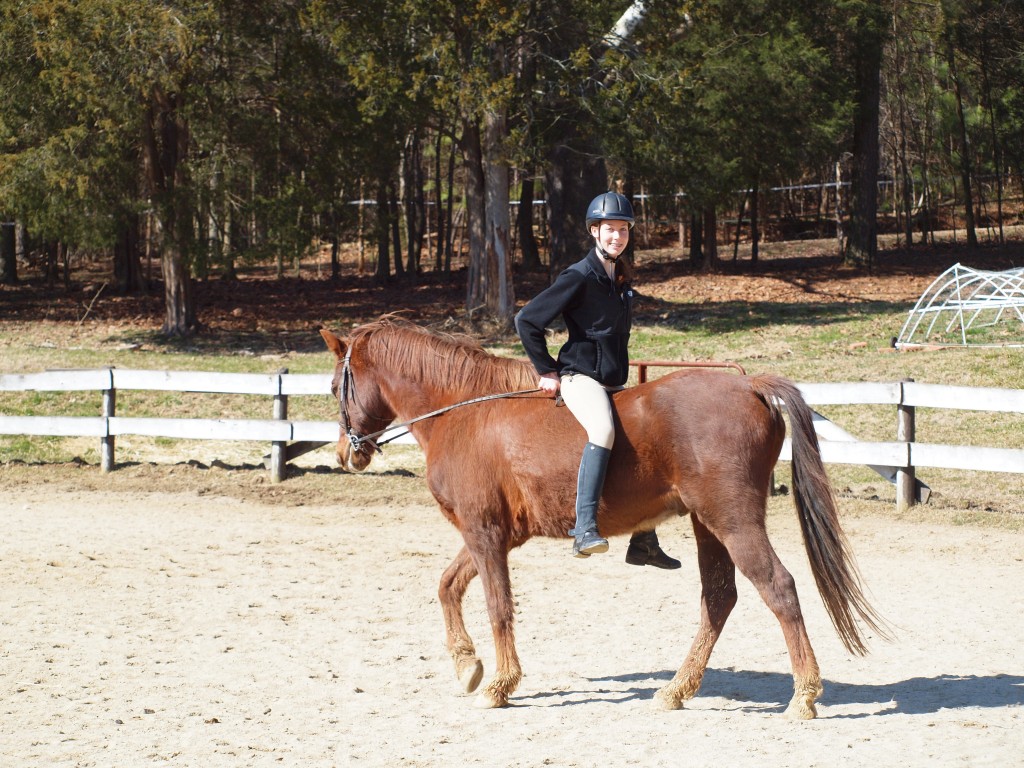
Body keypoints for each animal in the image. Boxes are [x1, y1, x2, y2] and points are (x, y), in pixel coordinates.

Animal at [320, 316, 886, 718]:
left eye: (332, 388)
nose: (349, 454)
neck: (464, 412)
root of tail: (750, 386)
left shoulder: (484, 532)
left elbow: (498, 607)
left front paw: (499, 685)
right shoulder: (494, 534)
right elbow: (447, 585)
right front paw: (467, 666)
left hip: (733, 520)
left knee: (778, 588)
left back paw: (803, 696)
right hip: (707, 523)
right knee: (719, 598)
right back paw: (676, 690)